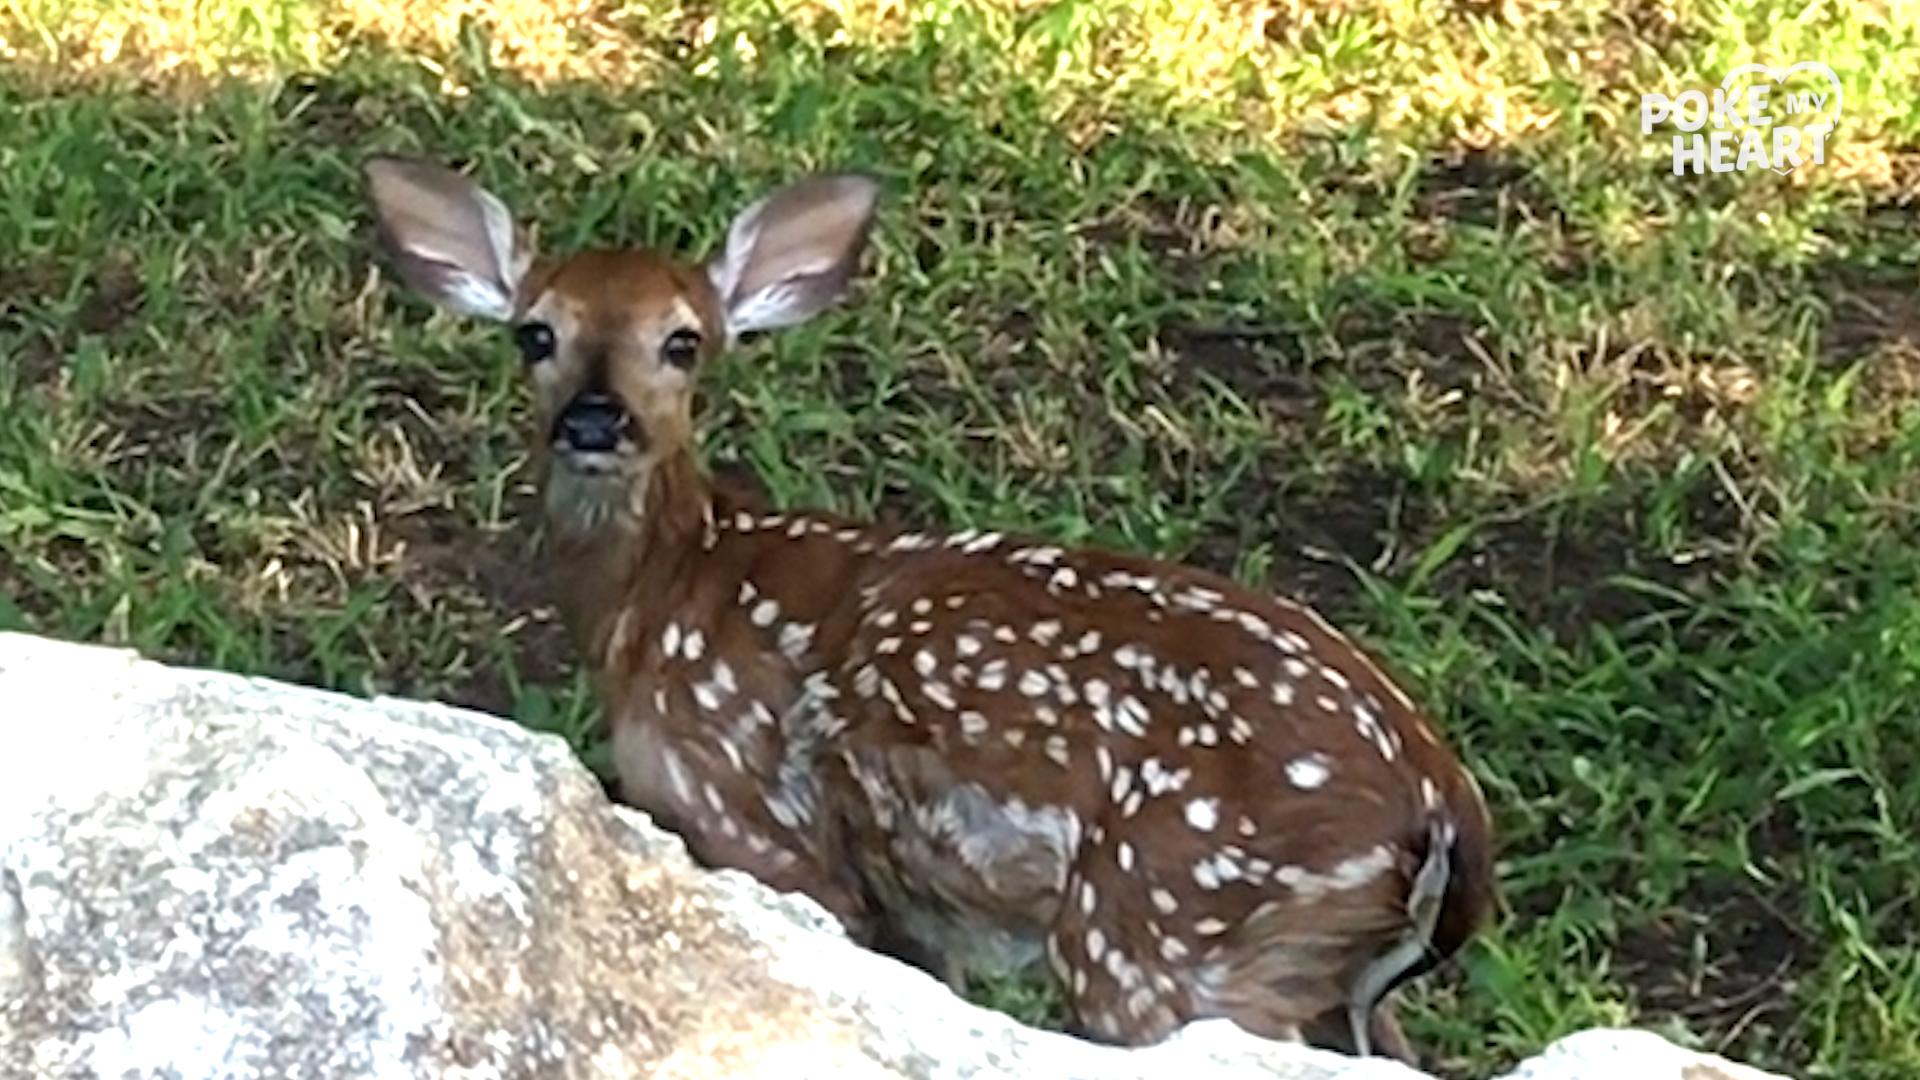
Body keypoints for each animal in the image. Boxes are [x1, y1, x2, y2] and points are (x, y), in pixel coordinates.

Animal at [362, 157, 1498, 1066]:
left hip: (1165, 927)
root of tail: (1443, 798)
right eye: (535, 333)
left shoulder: (757, 827)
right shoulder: (908, 912)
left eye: (683, 342)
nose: (596, 420)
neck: (665, 593)